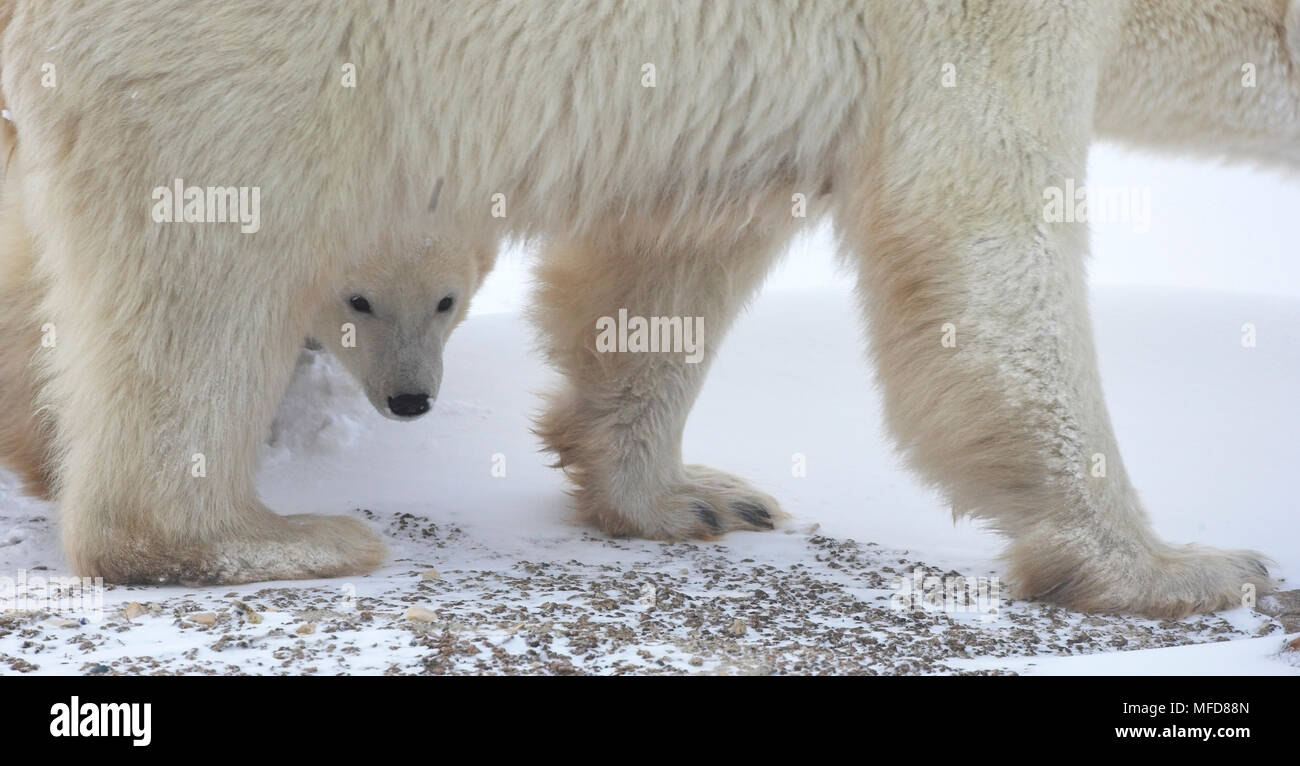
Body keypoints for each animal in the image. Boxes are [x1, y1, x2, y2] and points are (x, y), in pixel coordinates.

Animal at [0, 0, 1286, 614]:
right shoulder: (979, 21)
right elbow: (978, 229)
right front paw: (1182, 563)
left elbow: (675, 248)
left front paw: (688, 495)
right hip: (236, 41)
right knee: (216, 237)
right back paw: (262, 529)